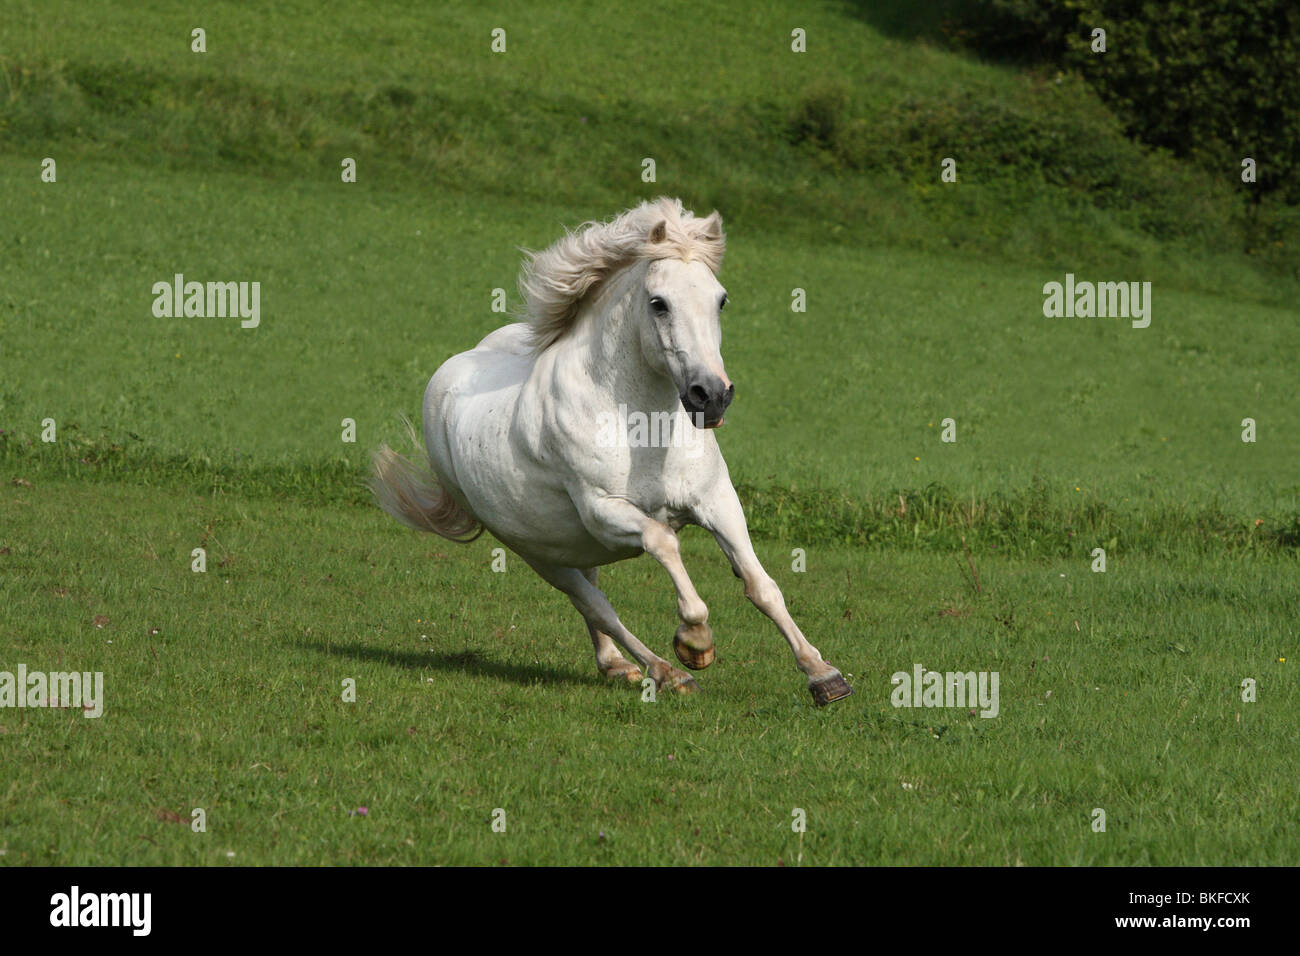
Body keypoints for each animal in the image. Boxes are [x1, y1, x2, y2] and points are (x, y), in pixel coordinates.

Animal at [370, 198, 852, 705]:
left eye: (720, 299)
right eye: (658, 303)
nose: (712, 397)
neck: (643, 427)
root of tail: (449, 373)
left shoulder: (717, 500)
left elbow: (762, 586)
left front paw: (824, 676)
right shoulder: (605, 510)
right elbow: (666, 543)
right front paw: (695, 643)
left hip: (573, 541)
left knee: (595, 599)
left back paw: (618, 666)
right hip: (537, 551)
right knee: (596, 605)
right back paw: (668, 671)